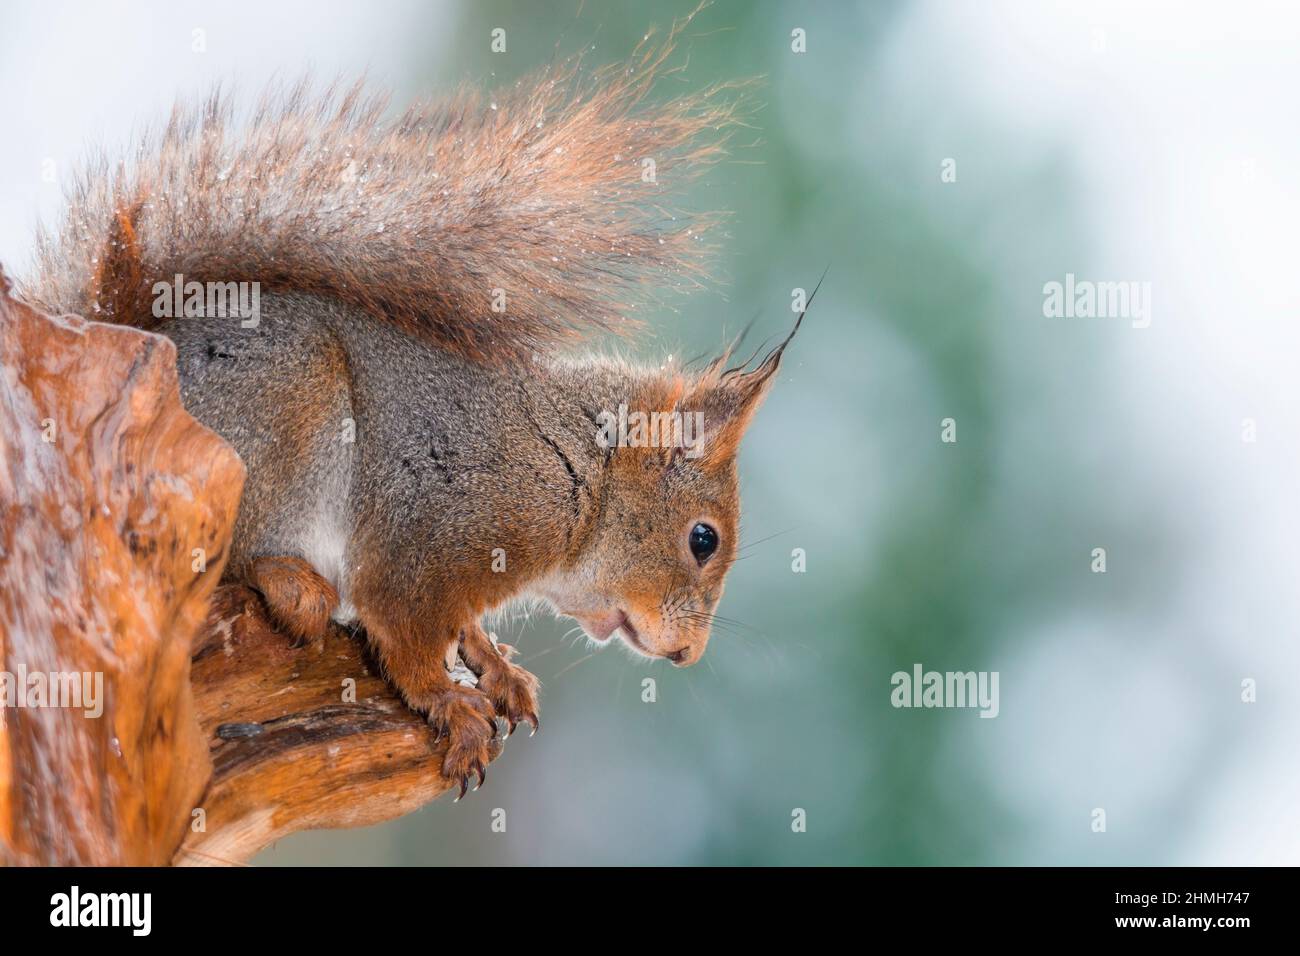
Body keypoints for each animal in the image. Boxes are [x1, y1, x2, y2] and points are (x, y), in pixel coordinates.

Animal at [20, 31, 804, 797]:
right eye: (703, 540)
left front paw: (495, 664)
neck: (581, 473)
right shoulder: (433, 536)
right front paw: (449, 703)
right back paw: (288, 581)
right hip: (283, 409)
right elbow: (402, 629)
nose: (688, 654)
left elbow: (462, 627)